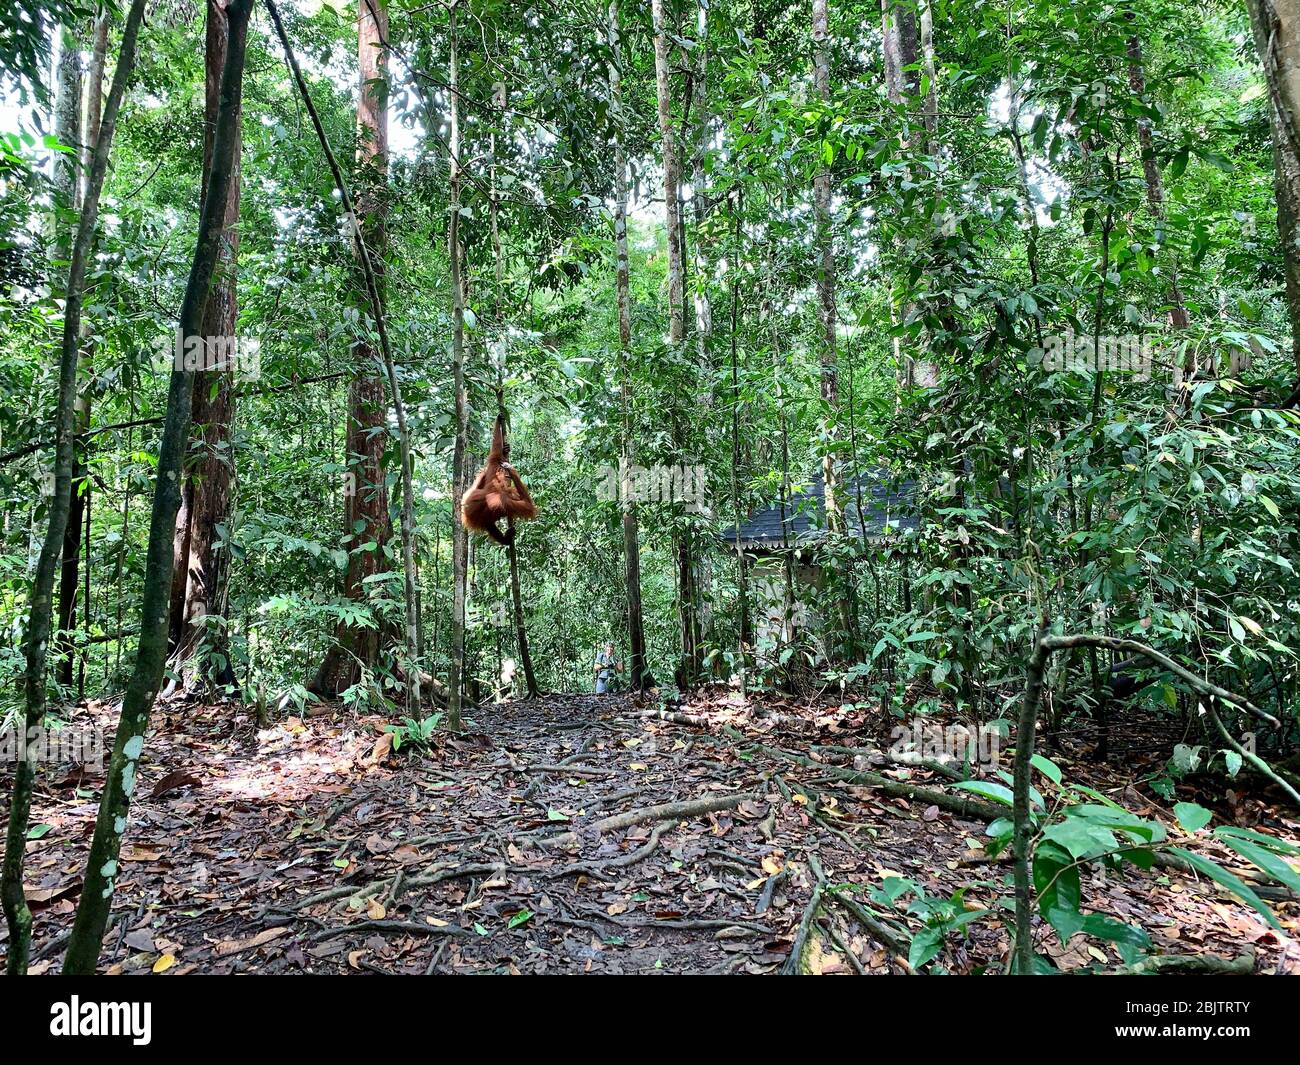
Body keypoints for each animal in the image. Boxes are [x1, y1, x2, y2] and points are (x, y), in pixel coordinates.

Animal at [460, 413, 537, 545]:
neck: (500, 489)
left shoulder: (493, 475)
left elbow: (494, 453)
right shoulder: (505, 501)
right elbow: (528, 506)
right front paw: (512, 471)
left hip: (469, 494)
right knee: (490, 525)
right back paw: (507, 539)